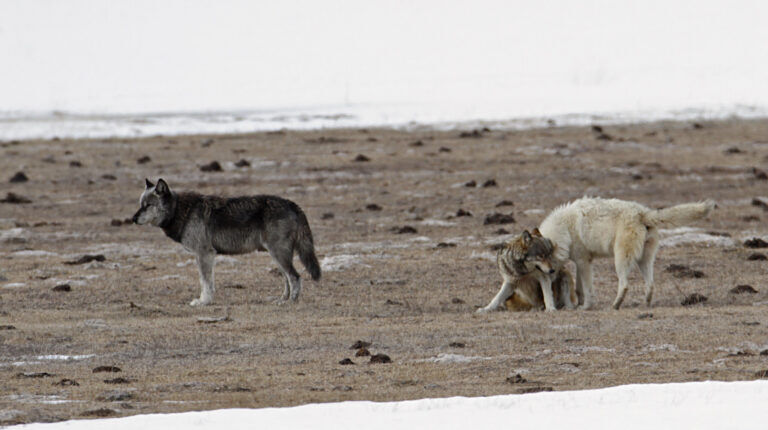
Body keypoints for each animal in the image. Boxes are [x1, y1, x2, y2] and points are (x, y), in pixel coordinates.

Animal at [132, 178, 321, 306]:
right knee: (288, 279)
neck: (181, 211)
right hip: (277, 257)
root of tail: (292, 204)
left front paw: (203, 302)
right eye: (140, 204)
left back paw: (291, 302)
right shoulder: (204, 255)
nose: (132, 219)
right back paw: (282, 299)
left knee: (295, 277)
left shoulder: (204, 254)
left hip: (279, 254)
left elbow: (205, 282)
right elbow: (206, 282)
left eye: (148, 205)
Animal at [538, 197, 715, 310]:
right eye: (538, 259)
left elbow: (587, 289)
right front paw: (579, 304)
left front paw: (586, 307)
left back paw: (615, 305)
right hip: (644, 261)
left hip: (620, 260)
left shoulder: (583, 261)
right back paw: (646, 304)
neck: (565, 229)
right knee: (650, 284)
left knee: (624, 285)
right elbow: (579, 288)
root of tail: (643, 212)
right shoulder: (583, 262)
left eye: (543, 257)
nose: (547, 273)